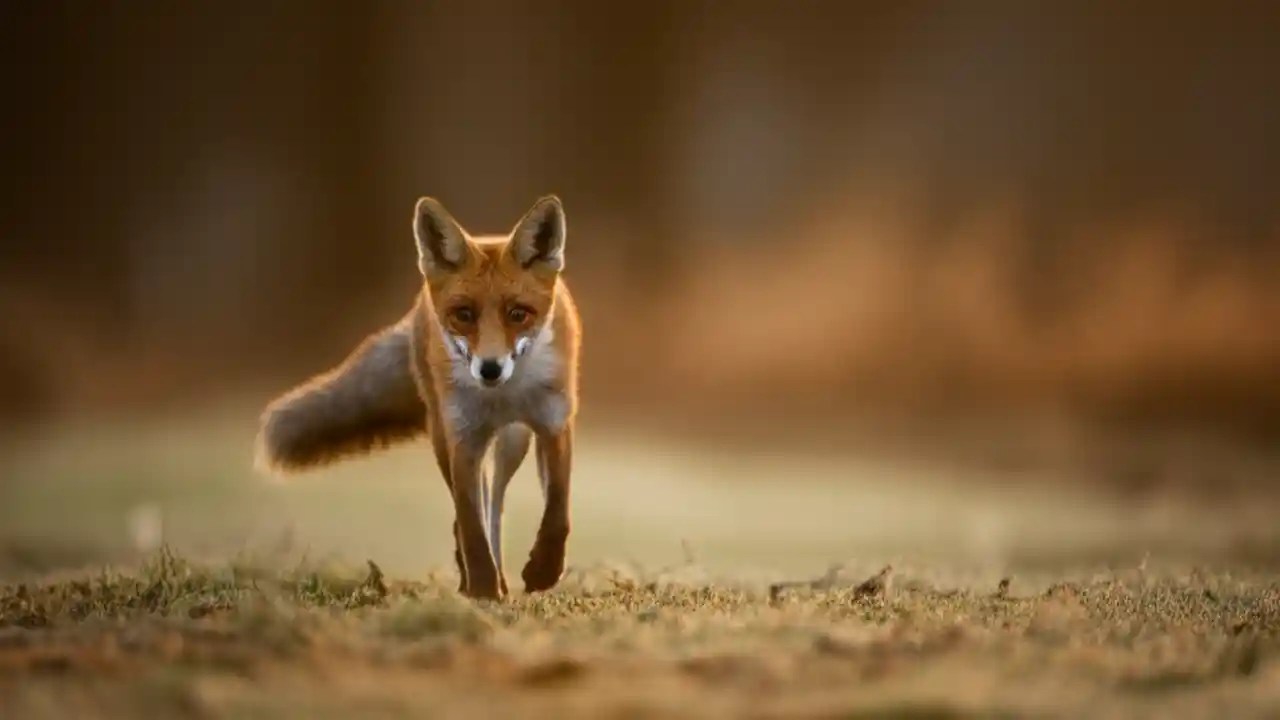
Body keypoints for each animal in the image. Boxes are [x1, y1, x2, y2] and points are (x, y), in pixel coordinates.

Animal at [254, 195, 580, 601]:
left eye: (518, 314)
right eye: (463, 314)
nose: (490, 369)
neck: (505, 395)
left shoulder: (554, 424)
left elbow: (557, 511)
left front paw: (543, 571)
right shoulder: (464, 439)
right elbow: (471, 529)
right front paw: (484, 591)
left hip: (513, 443)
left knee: (495, 504)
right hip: (443, 433)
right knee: (472, 513)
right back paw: (480, 581)